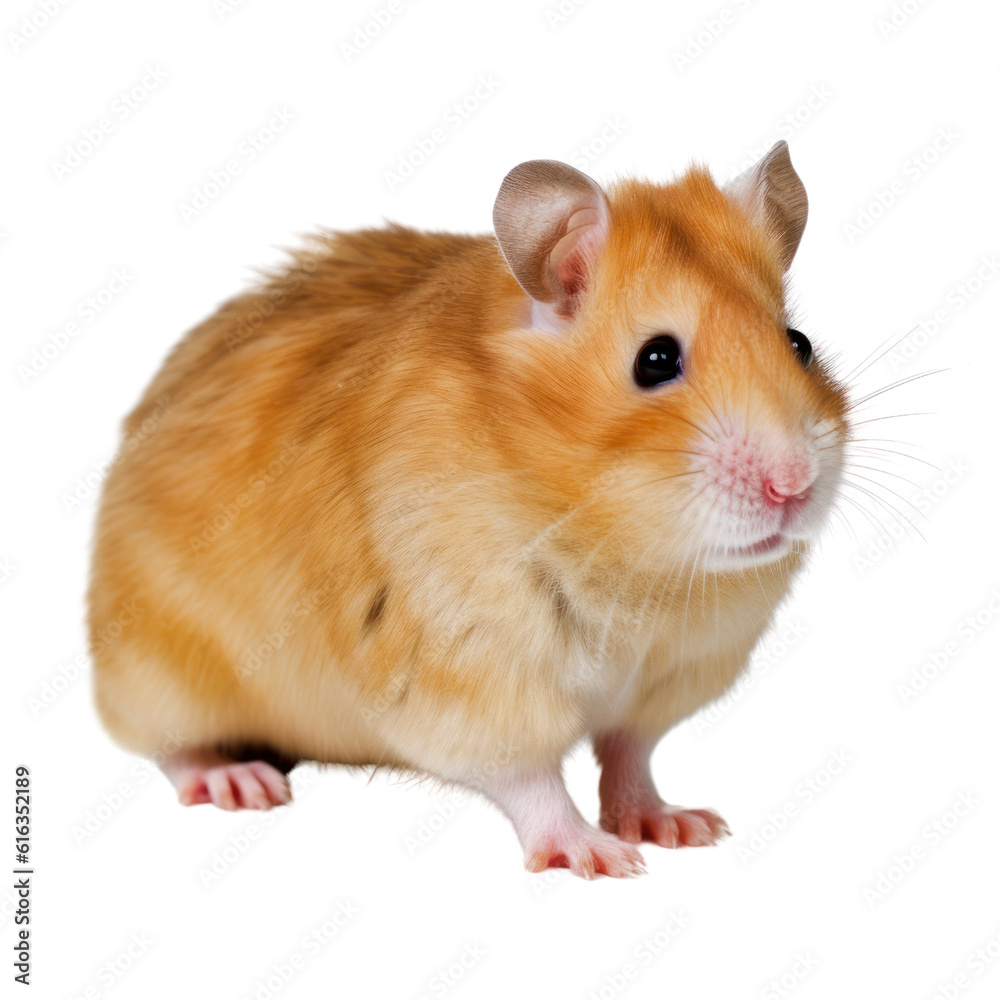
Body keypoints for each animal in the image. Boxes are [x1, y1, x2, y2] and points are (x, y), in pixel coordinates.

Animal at [88, 140, 850, 879]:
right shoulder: (472, 679)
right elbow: (530, 779)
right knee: (166, 747)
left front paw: (681, 829)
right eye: (656, 360)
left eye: (799, 344)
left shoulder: (667, 679)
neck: (634, 558)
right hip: (157, 673)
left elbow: (630, 754)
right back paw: (240, 782)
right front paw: (601, 860)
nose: (793, 486)